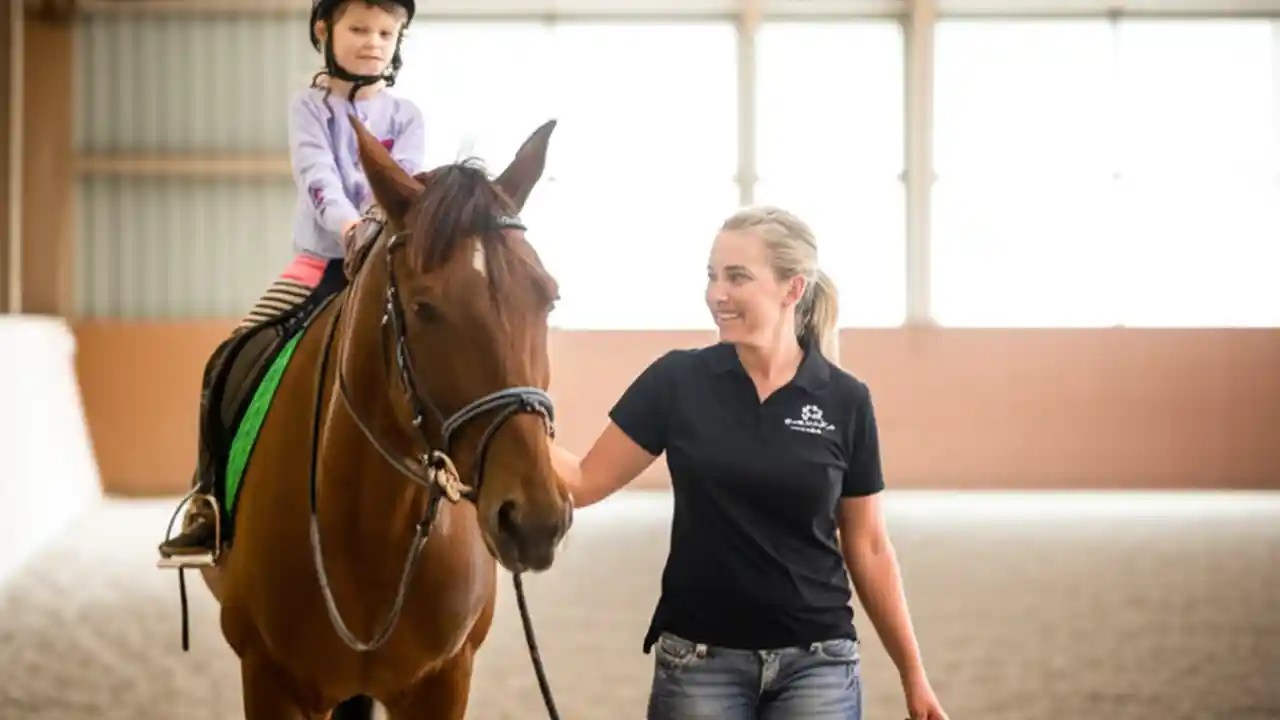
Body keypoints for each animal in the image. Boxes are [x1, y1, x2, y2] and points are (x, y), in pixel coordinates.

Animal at [197, 116, 574, 719]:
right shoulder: (271, 680)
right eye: (423, 308)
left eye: (549, 298)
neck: (372, 530)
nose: (533, 520)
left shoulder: (443, 681)